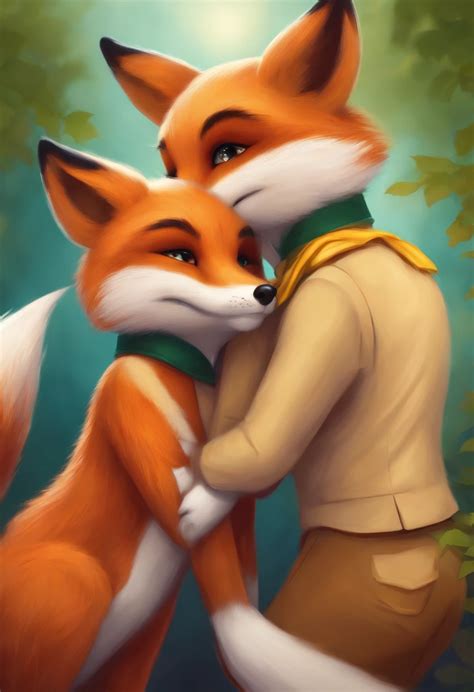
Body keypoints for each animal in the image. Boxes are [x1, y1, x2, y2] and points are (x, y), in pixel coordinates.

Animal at [0, 139, 396, 692]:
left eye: (246, 259)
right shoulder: (132, 405)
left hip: (137, 634)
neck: (193, 378)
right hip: (72, 591)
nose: (267, 293)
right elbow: (236, 615)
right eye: (180, 255)